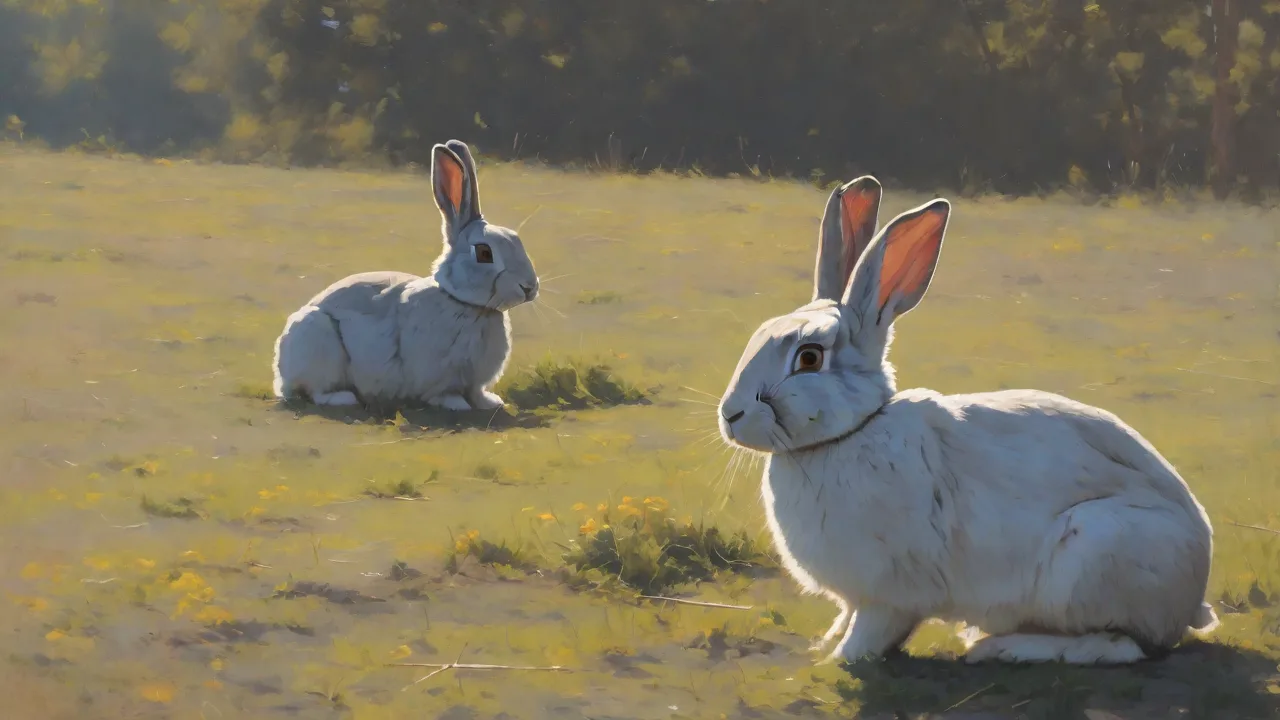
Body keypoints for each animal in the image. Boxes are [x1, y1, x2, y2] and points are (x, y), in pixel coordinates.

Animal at [272, 139, 539, 410]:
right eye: (484, 253)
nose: (529, 287)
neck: (467, 304)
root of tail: (281, 376)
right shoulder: (437, 376)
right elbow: (445, 394)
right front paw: (457, 405)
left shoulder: (474, 383)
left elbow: (476, 393)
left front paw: (491, 403)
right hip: (316, 342)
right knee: (317, 391)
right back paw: (344, 398)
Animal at [716, 176, 1216, 665]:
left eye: (809, 357)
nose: (730, 415)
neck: (853, 431)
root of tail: (1195, 594)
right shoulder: (860, 596)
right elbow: (846, 616)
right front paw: (823, 644)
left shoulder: (891, 595)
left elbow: (870, 633)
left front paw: (837, 659)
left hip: (1093, 556)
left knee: (1124, 645)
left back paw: (1000, 647)